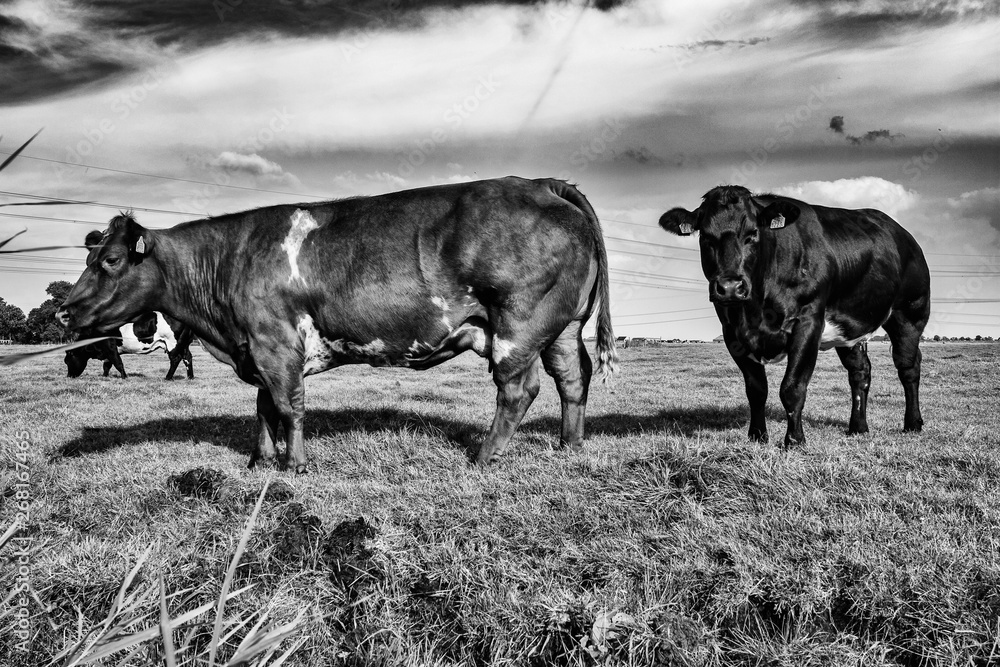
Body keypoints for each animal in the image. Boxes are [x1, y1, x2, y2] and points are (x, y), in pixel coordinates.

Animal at [65, 311, 195, 380]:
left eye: (67, 361)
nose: (68, 376)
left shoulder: (110, 347)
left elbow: (118, 363)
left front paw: (124, 377)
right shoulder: (108, 351)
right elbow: (107, 365)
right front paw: (105, 376)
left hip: (172, 343)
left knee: (176, 359)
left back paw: (167, 377)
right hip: (184, 344)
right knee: (187, 357)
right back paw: (190, 377)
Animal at [659, 185, 930, 448]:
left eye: (752, 234)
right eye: (705, 236)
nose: (729, 287)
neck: (756, 311)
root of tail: (902, 233)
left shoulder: (808, 322)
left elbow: (792, 387)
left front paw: (795, 440)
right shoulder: (731, 331)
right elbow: (756, 389)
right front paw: (757, 436)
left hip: (910, 313)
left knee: (908, 367)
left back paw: (913, 424)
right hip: (849, 327)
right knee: (860, 372)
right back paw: (858, 428)